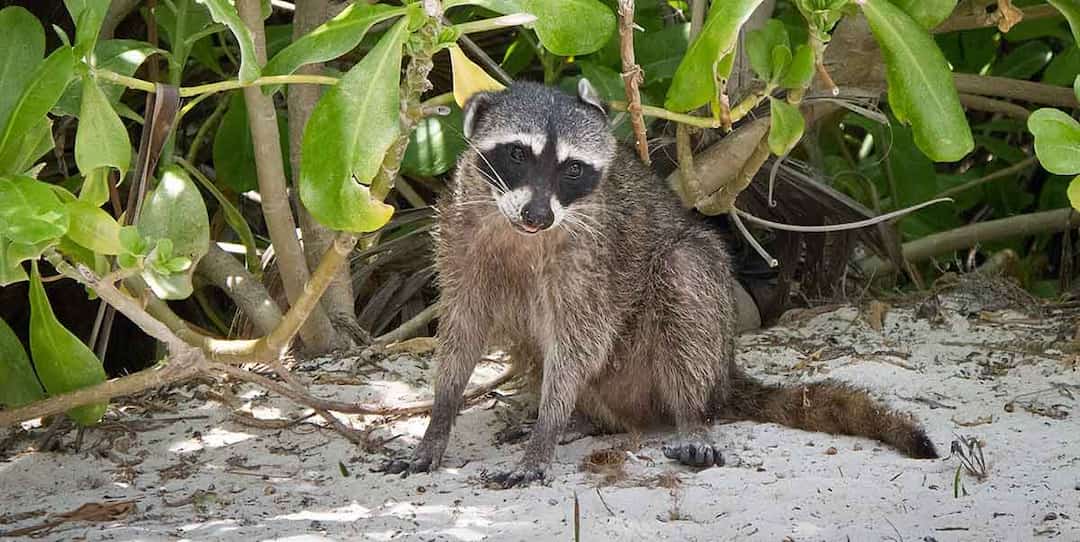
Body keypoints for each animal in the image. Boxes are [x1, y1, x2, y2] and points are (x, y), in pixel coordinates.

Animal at [384, 80, 938, 488]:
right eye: (518, 154)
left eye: (572, 169)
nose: (538, 216)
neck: (521, 231)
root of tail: (726, 373)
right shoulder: (459, 236)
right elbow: (462, 329)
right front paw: (440, 417)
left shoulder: (592, 258)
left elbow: (579, 343)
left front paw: (546, 429)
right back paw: (585, 418)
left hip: (681, 341)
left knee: (685, 271)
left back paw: (687, 414)